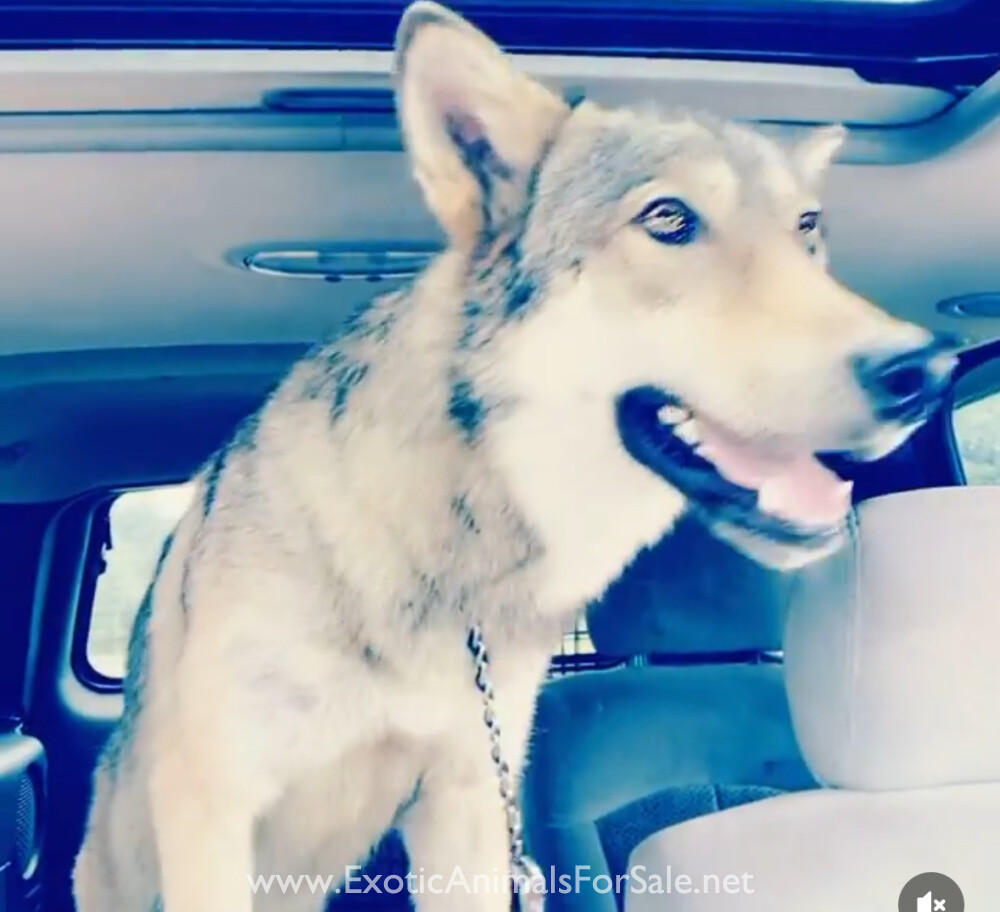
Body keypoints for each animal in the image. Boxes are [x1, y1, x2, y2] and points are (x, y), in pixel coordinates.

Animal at [71, 3, 958, 911]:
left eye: (807, 230)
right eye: (668, 220)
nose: (924, 371)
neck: (447, 553)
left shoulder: (467, 806)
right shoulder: (215, 813)